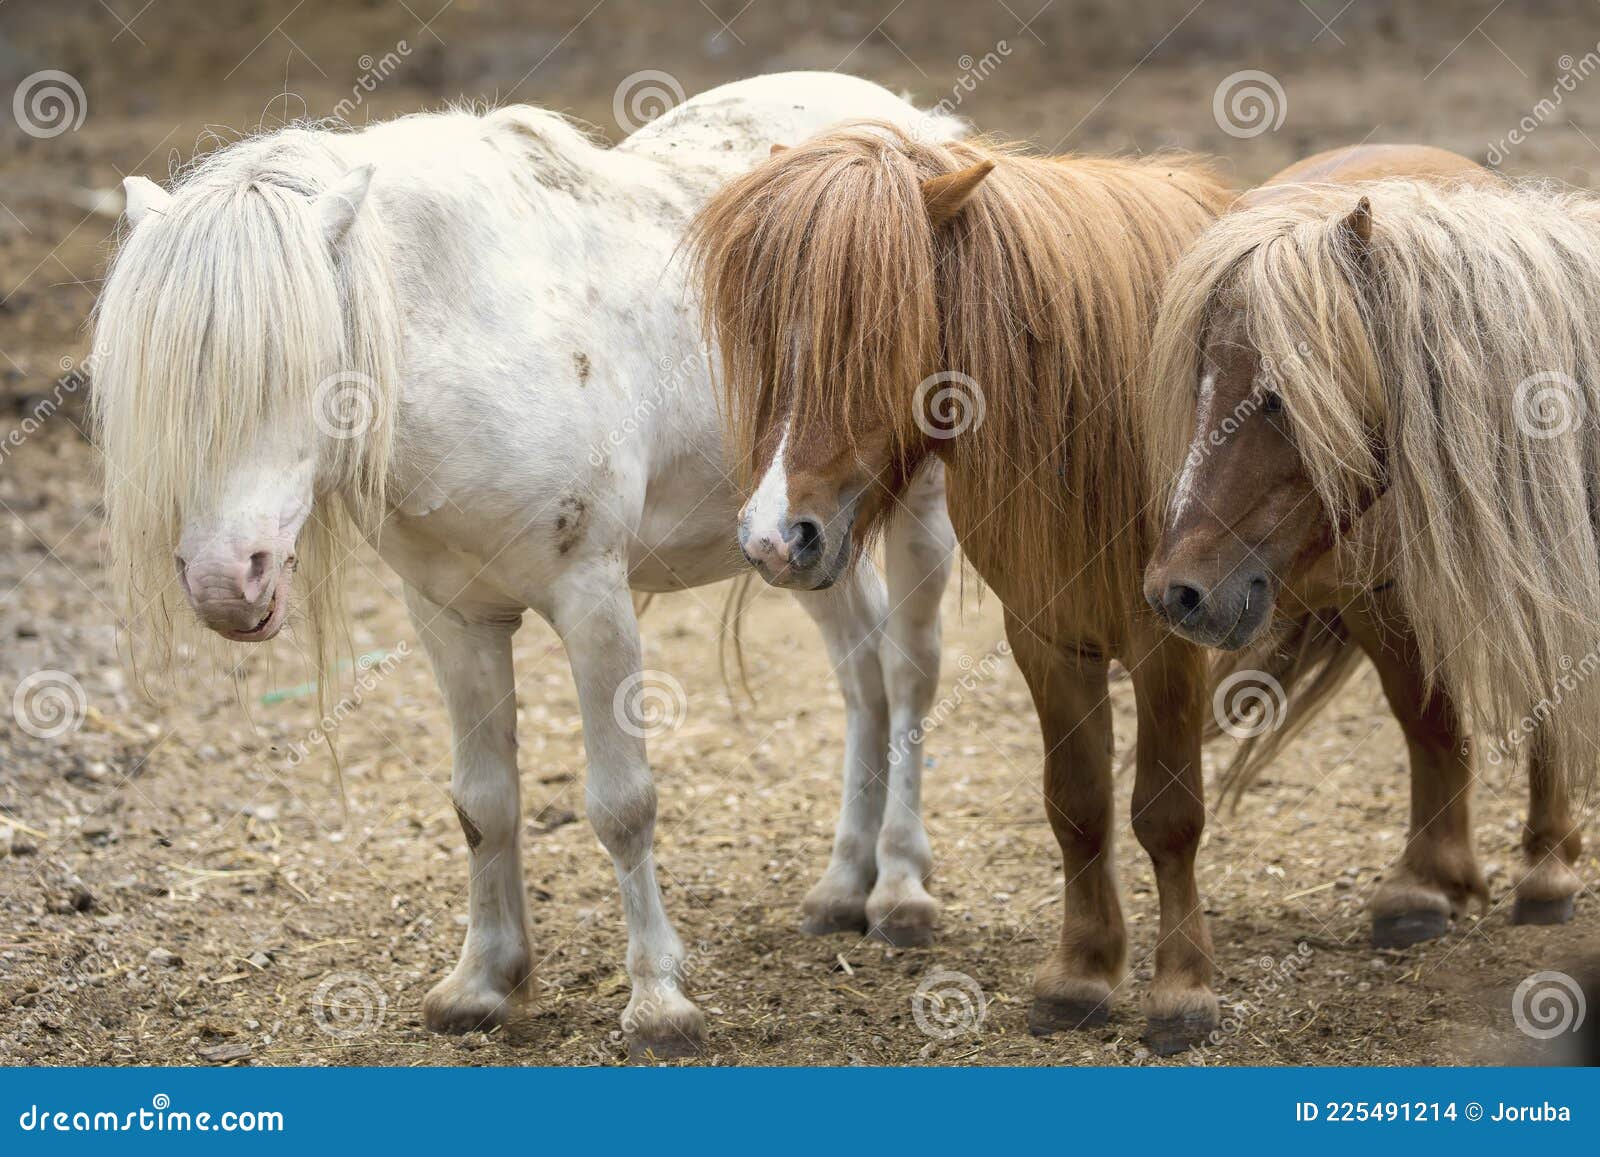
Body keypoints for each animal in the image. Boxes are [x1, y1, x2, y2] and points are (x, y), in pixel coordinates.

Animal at [89, 74, 965, 1060]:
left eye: (299, 362)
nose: (221, 582)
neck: (473, 328)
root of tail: (918, 134)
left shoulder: (592, 600)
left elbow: (622, 804)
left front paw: (659, 999)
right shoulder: (453, 617)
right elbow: (484, 803)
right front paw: (483, 981)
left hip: (913, 505)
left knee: (910, 672)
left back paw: (899, 889)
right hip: (804, 539)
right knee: (863, 675)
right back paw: (843, 884)